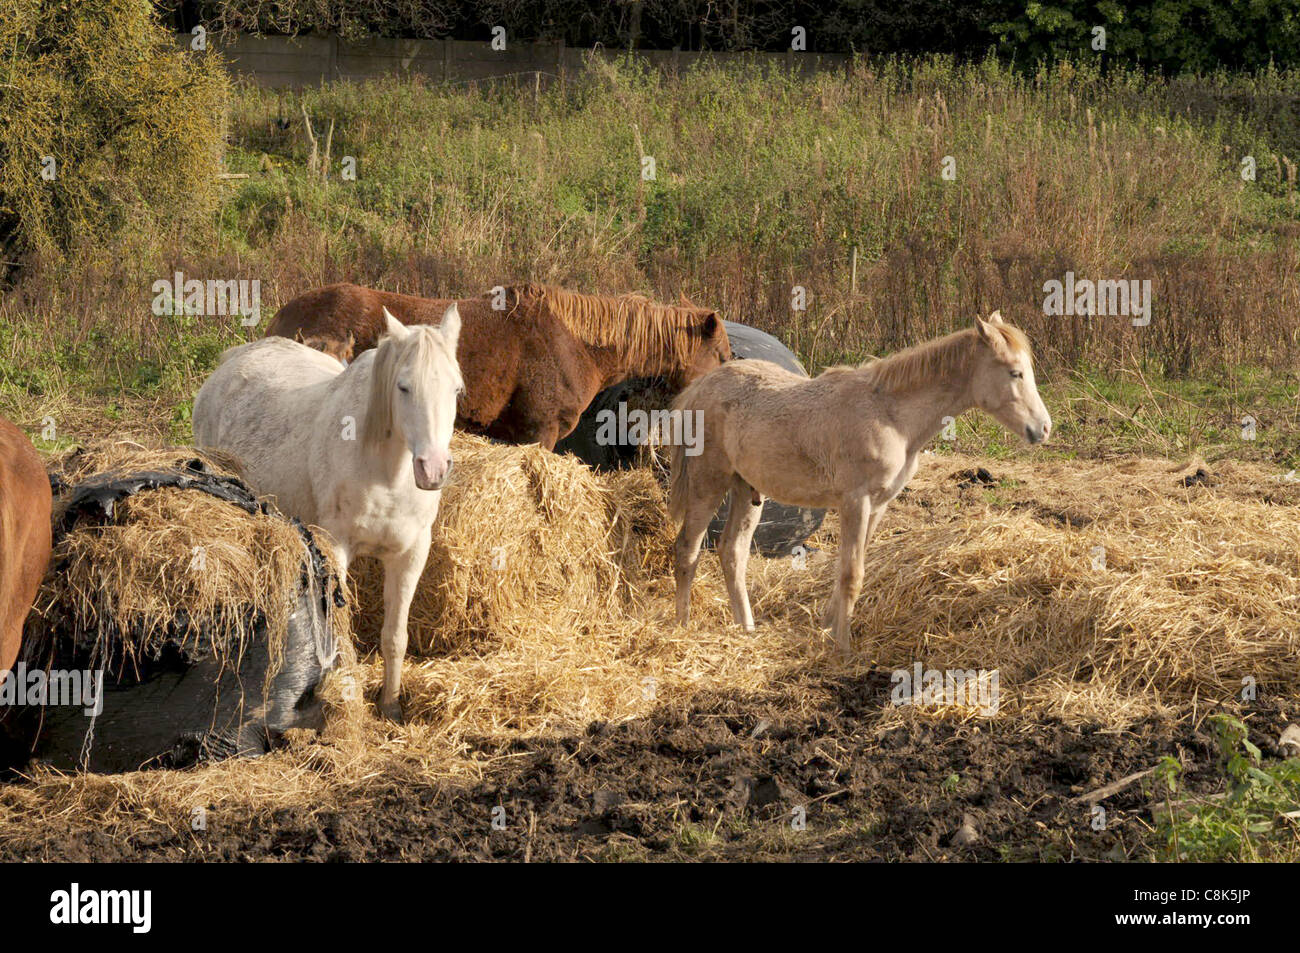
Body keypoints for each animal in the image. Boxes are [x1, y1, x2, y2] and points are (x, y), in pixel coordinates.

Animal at [193, 308, 463, 719]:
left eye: (456, 389)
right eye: (403, 387)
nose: (433, 469)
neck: (386, 470)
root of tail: (231, 362)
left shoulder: (411, 554)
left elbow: (394, 637)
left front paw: (390, 706)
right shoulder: (335, 547)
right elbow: (341, 632)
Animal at [668, 312, 1052, 653]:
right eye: (1015, 373)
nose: (1044, 428)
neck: (892, 416)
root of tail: (701, 387)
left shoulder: (878, 505)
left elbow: (849, 569)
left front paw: (827, 629)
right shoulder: (856, 501)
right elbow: (851, 574)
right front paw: (843, 648)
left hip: (745, 488)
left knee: (732, 552)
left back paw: (746, 628)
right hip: (707, 483)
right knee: (687, 549)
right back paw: (682, 627)